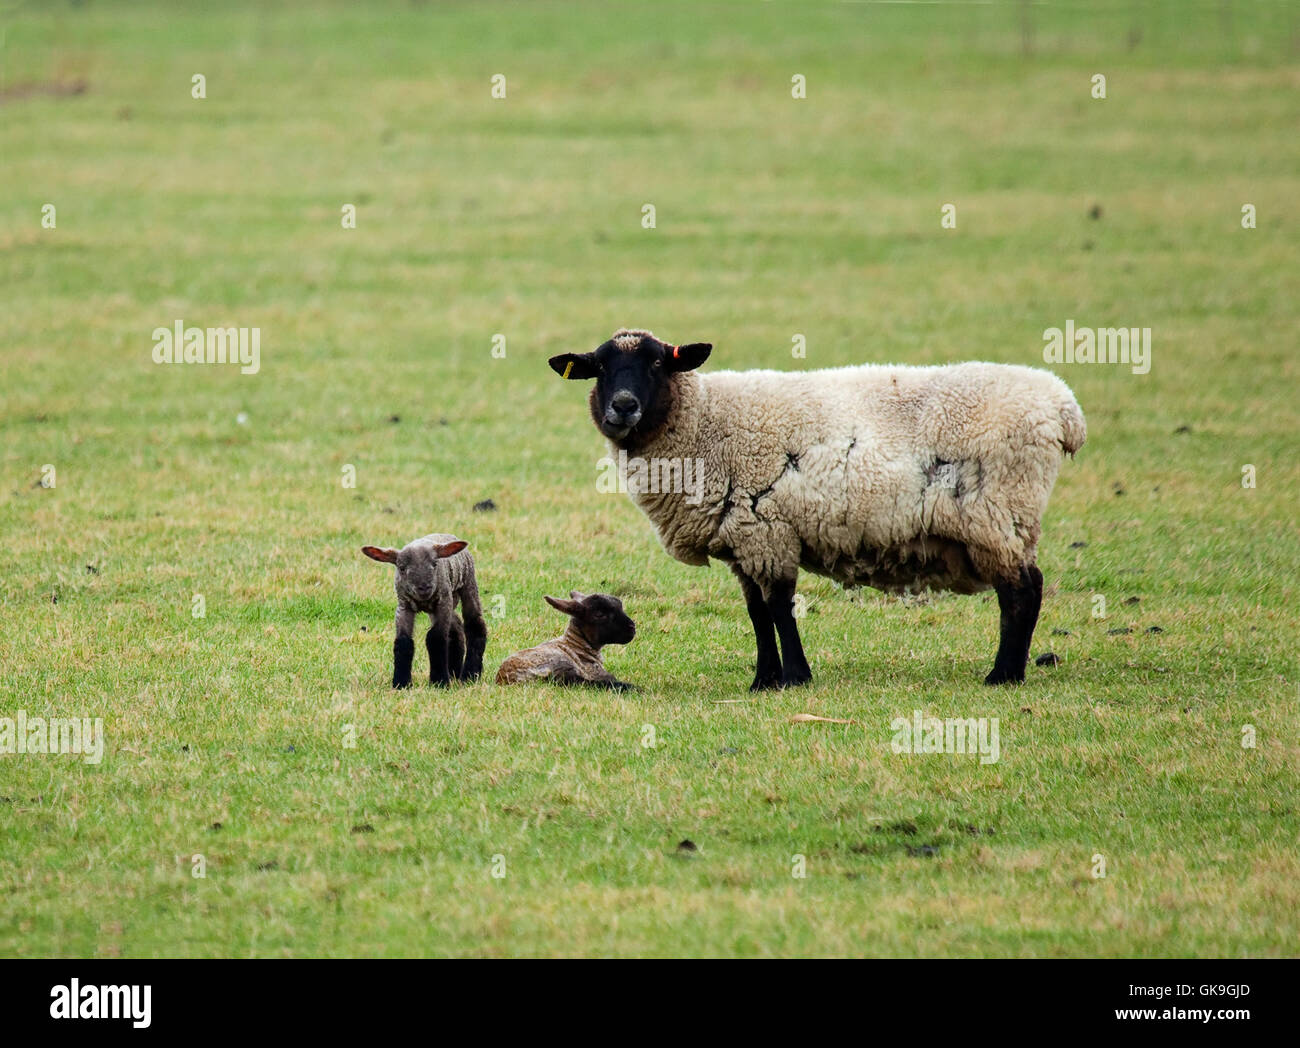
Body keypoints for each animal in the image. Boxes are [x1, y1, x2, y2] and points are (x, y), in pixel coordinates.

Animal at [361, 533, 488, 691]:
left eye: (434, 564)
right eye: (402, 568)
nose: (424, 587)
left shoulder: (442, 602)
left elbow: (436, 638)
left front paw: (439, 681)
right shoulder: (404, 607)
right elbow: (403, 641)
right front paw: (401, 683)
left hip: (467, 584)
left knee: (475, 625)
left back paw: (470, 674)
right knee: (456, 627)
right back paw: (455, 672)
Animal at [548, 327, 1086, 691]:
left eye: (659, 363)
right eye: (599, 367)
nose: (622, 406)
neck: (705, 423)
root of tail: (1063, 408)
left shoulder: (769, 530)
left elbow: (779, 608)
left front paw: (794, 676)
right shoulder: (744, 538)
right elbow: (756, 612)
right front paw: (763, 679)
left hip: (997, 512)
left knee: (1022, 591)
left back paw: (1004, 674)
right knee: (1025, 587)